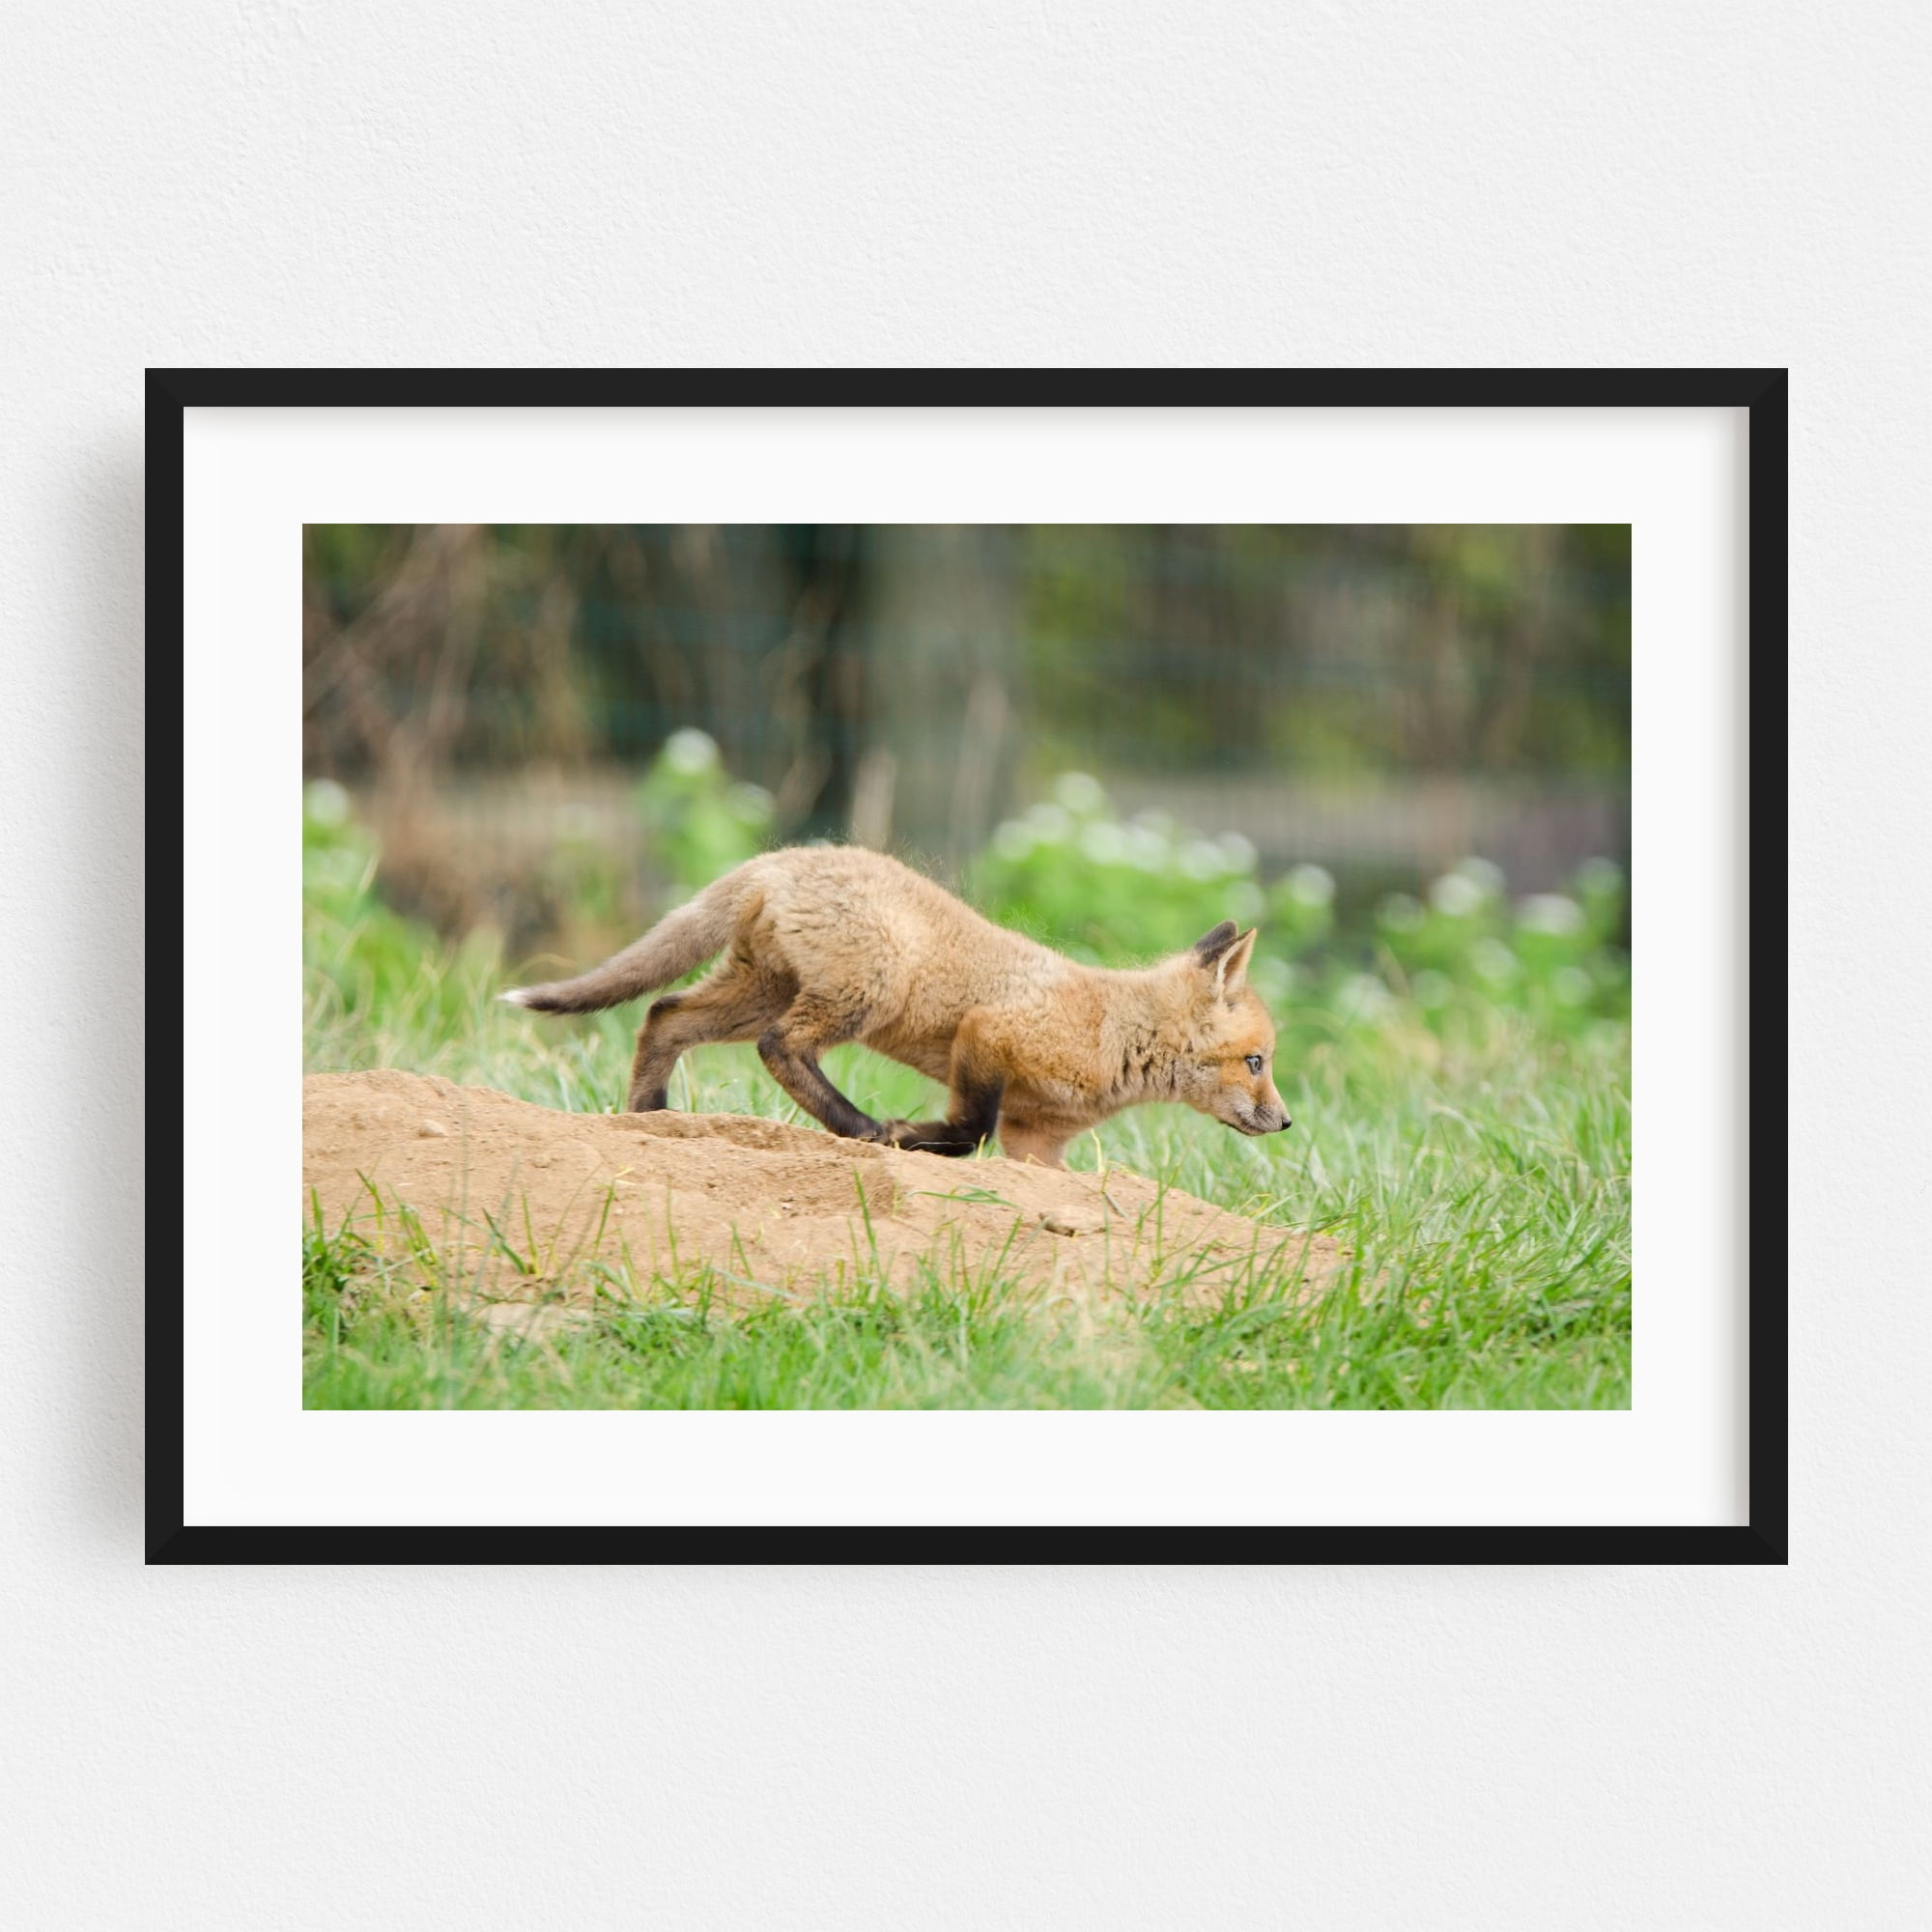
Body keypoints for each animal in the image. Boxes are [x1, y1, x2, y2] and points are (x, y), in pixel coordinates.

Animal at [500, 844, 1290, 1169]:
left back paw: (649, 1118)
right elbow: (969, 1129)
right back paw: (859, 1126)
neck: (1115, 1038)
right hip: (862, 993)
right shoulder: (987, 1035)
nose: (1286, 1123)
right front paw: (915, 1138)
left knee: (664, 1014)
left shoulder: (1038, 1142)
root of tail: (783, 856)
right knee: (781, 1047)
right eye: (1256, 1062)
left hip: (756, 993)